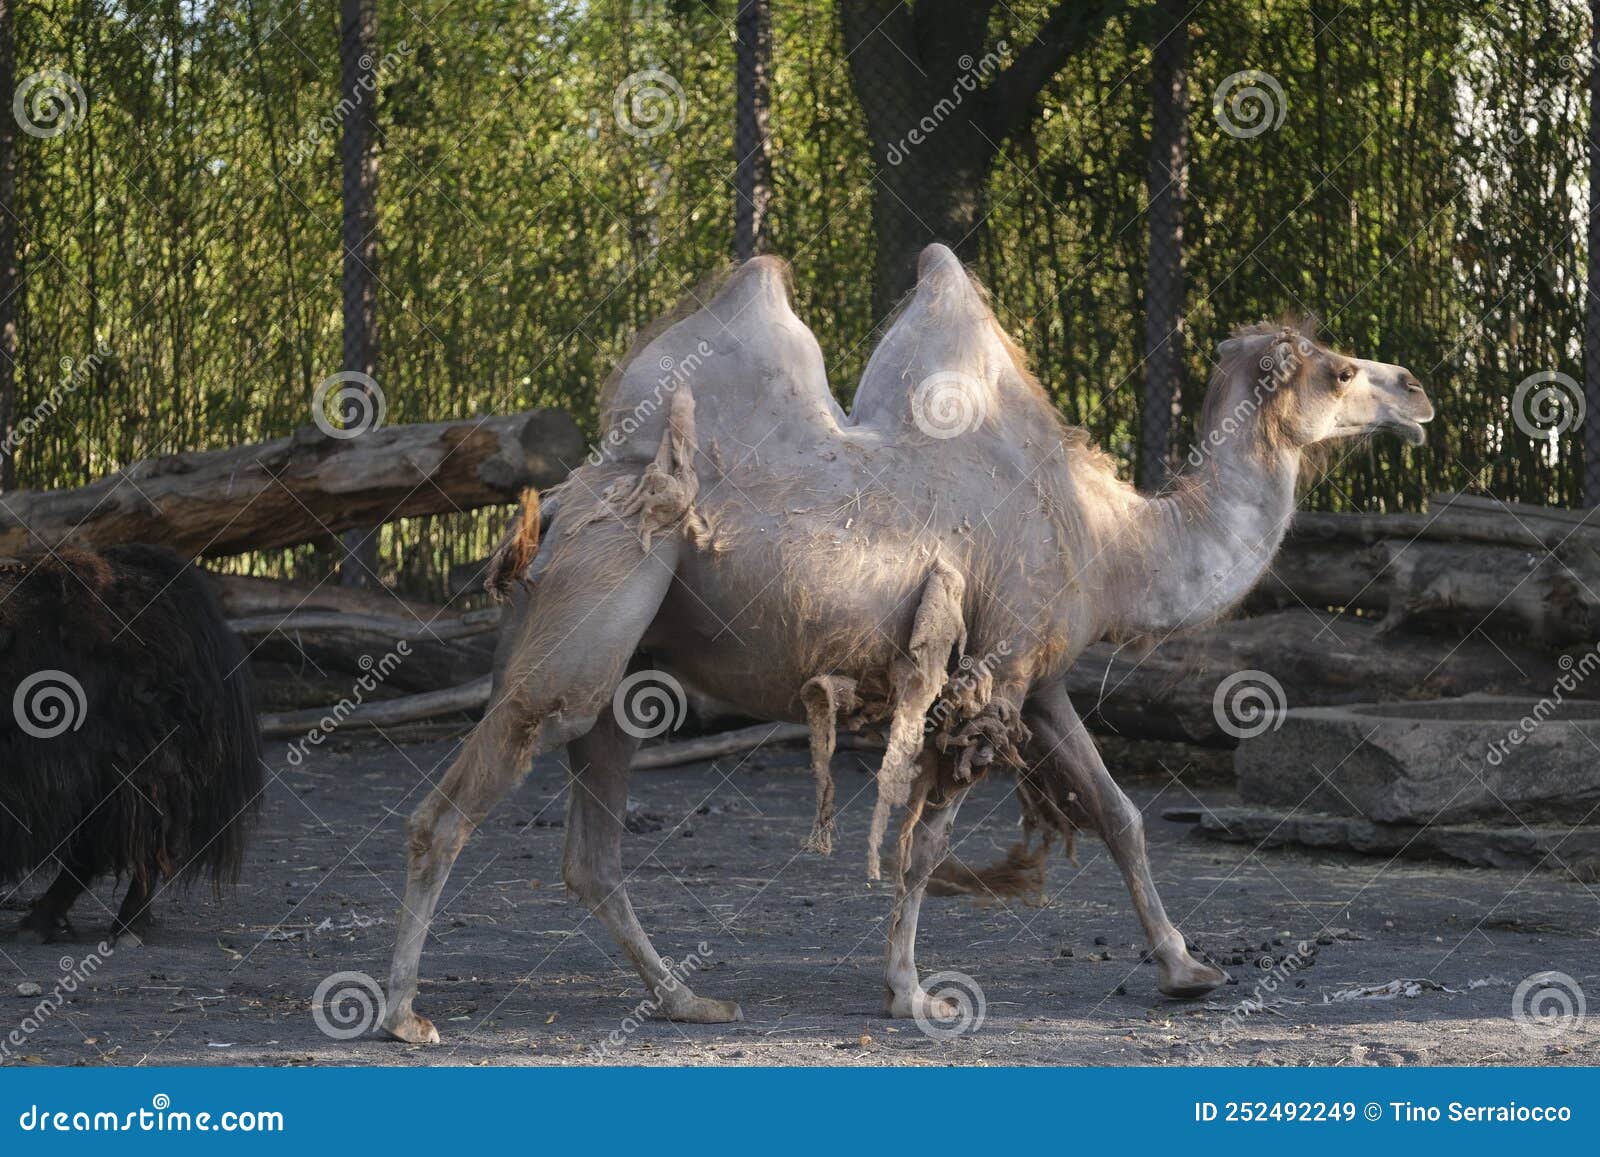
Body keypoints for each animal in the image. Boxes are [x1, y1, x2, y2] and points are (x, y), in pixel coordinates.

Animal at [379, 244, 1433, 1043]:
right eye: (1339, 369)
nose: (1417, 389)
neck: (1109, 540)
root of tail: (557, 507)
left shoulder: (1040, 674)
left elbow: (1120, 811)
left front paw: (1186, 966)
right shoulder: (991, 671)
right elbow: (926, 844)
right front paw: (914, 993)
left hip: (626, 664)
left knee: (591, 854)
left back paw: (686, 999)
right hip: (596, 601)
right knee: (462, 795)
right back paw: (401, 1015)